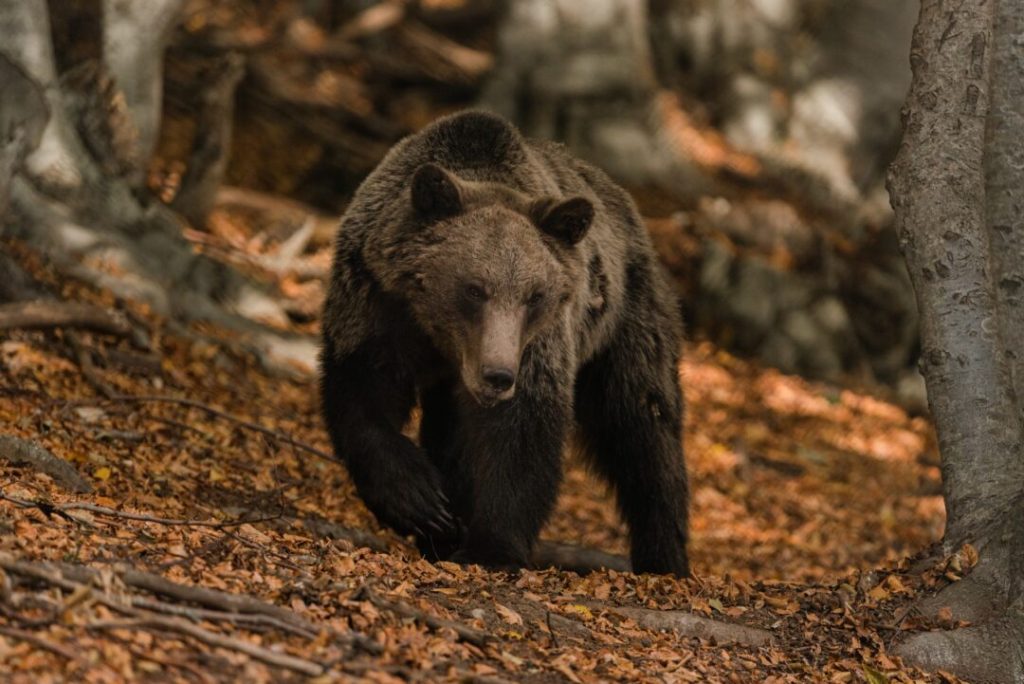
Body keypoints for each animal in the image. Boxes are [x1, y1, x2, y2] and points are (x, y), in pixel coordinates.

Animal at [320, 110, 690, 577]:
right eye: (474, 288)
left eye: (535, 295)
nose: (497, 375)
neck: (440, 335)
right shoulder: (375, 302)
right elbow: (364, 394)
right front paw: (420, 502)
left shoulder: (537, 342)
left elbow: (521, 434)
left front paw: (490, 547)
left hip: (625, 321)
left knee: (642, 427)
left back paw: (665, 558)